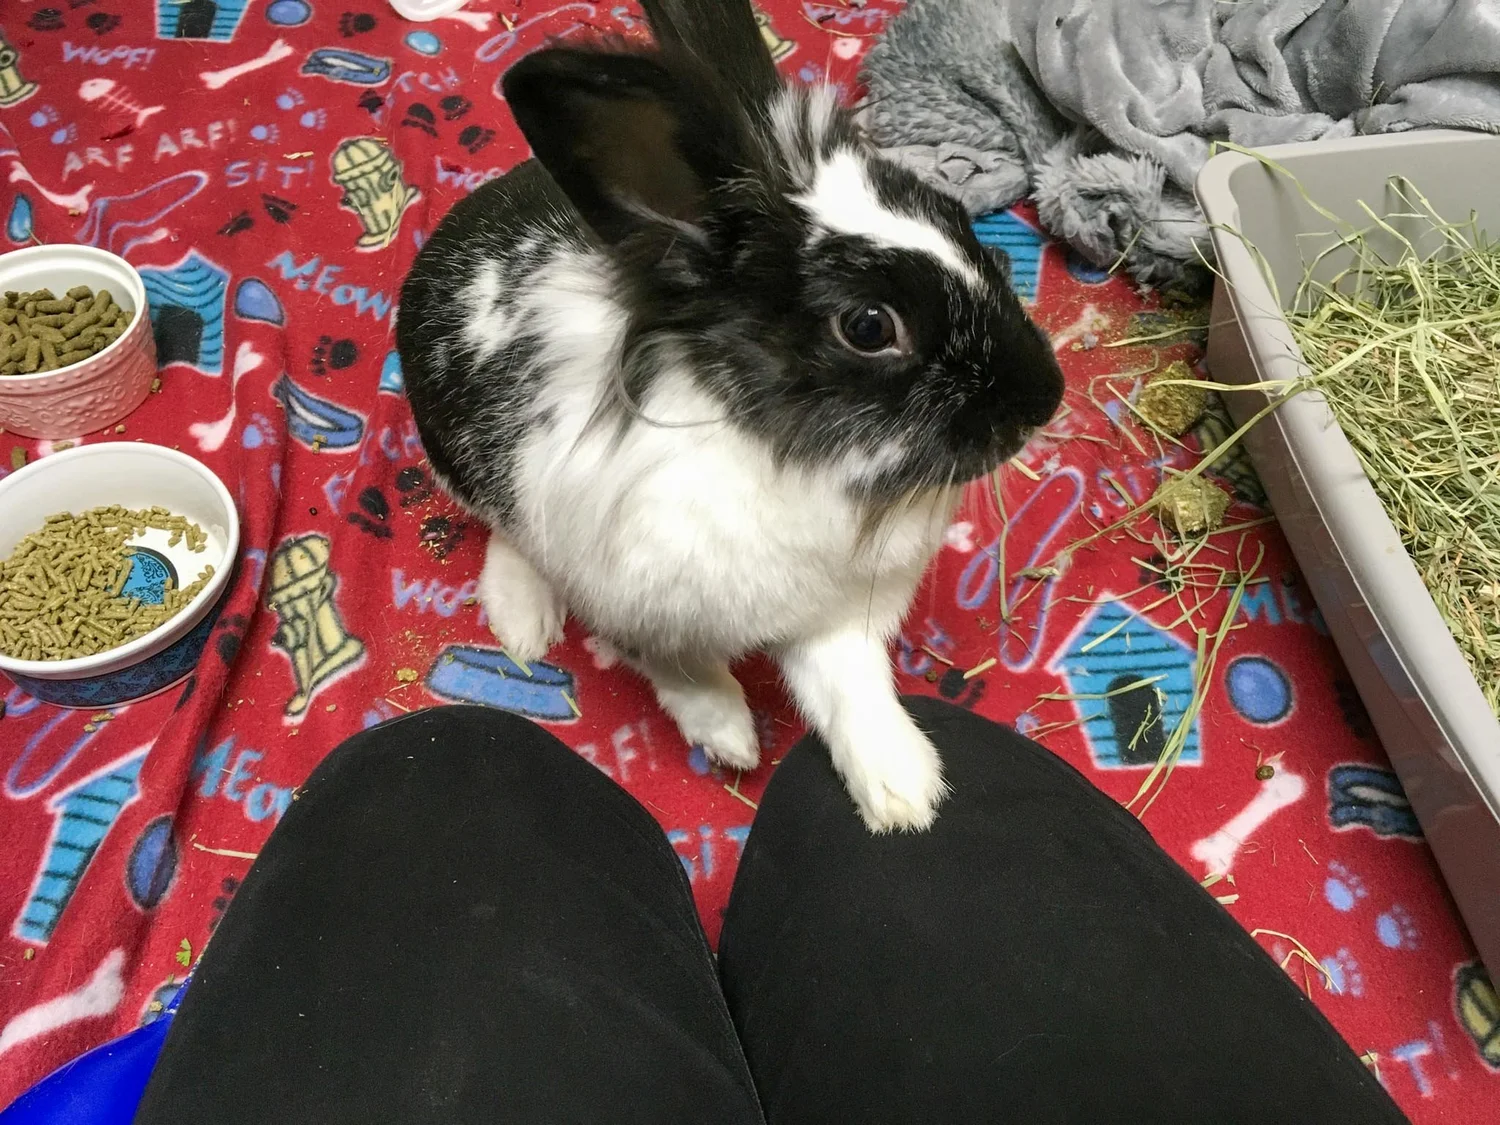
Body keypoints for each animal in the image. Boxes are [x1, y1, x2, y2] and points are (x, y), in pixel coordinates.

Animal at [396, 0, 1064, 832]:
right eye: (869, 326)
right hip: (464, 463)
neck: (794, 459)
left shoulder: (836, 617)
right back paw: (523, 619)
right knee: (508, 533)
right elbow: (683, 672)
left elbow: (852, 688)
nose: (1046, 395)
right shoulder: (645, 610)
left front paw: (905, 789)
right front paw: (730, 736)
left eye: (957, 216)